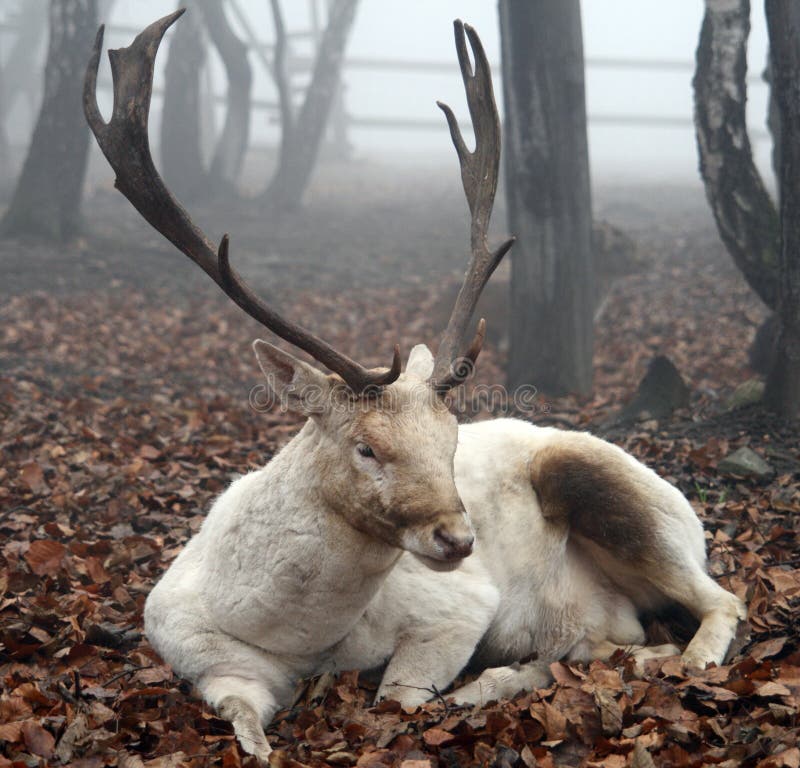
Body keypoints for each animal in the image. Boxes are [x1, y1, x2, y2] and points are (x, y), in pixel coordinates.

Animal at [84, 11, 745, 763]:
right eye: (366, 447)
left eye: (452, 439)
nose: (459, 540)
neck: (295, 640)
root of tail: (691, 513)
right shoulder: (201, 659)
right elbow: (246, 727)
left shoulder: (457, 610)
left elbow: (400, 699)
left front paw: (475, 687)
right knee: (625, 637)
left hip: (615, 491)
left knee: (721, 603)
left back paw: (664, 662)